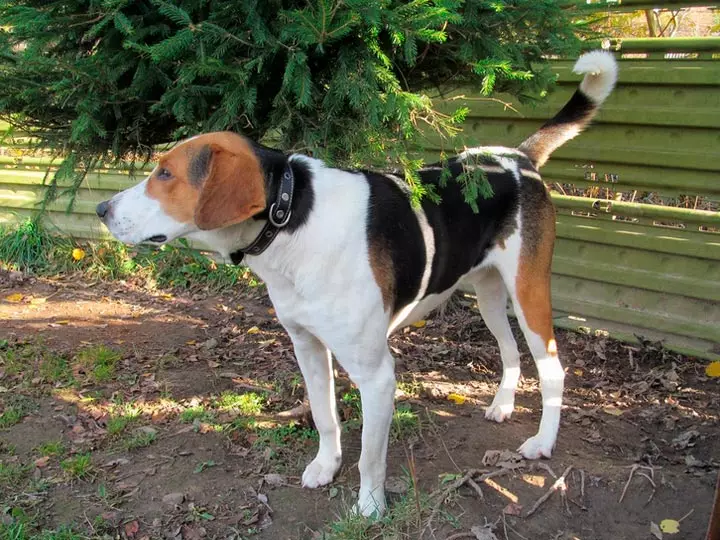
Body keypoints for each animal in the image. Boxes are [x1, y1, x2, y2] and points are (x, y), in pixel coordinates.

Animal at [98, 51, 620, 520]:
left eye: (165, 174)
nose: (101, 209)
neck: (292, 217)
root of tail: (515, 157)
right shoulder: (307, 347)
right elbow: (325, 416)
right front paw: (325, 467)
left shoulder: (376, 375)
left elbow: (371, 456)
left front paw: (369, 506)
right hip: (488, 294)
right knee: (510, 352)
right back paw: (502, 406)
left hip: (529, 295)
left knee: (552, 370)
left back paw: (542, 442)